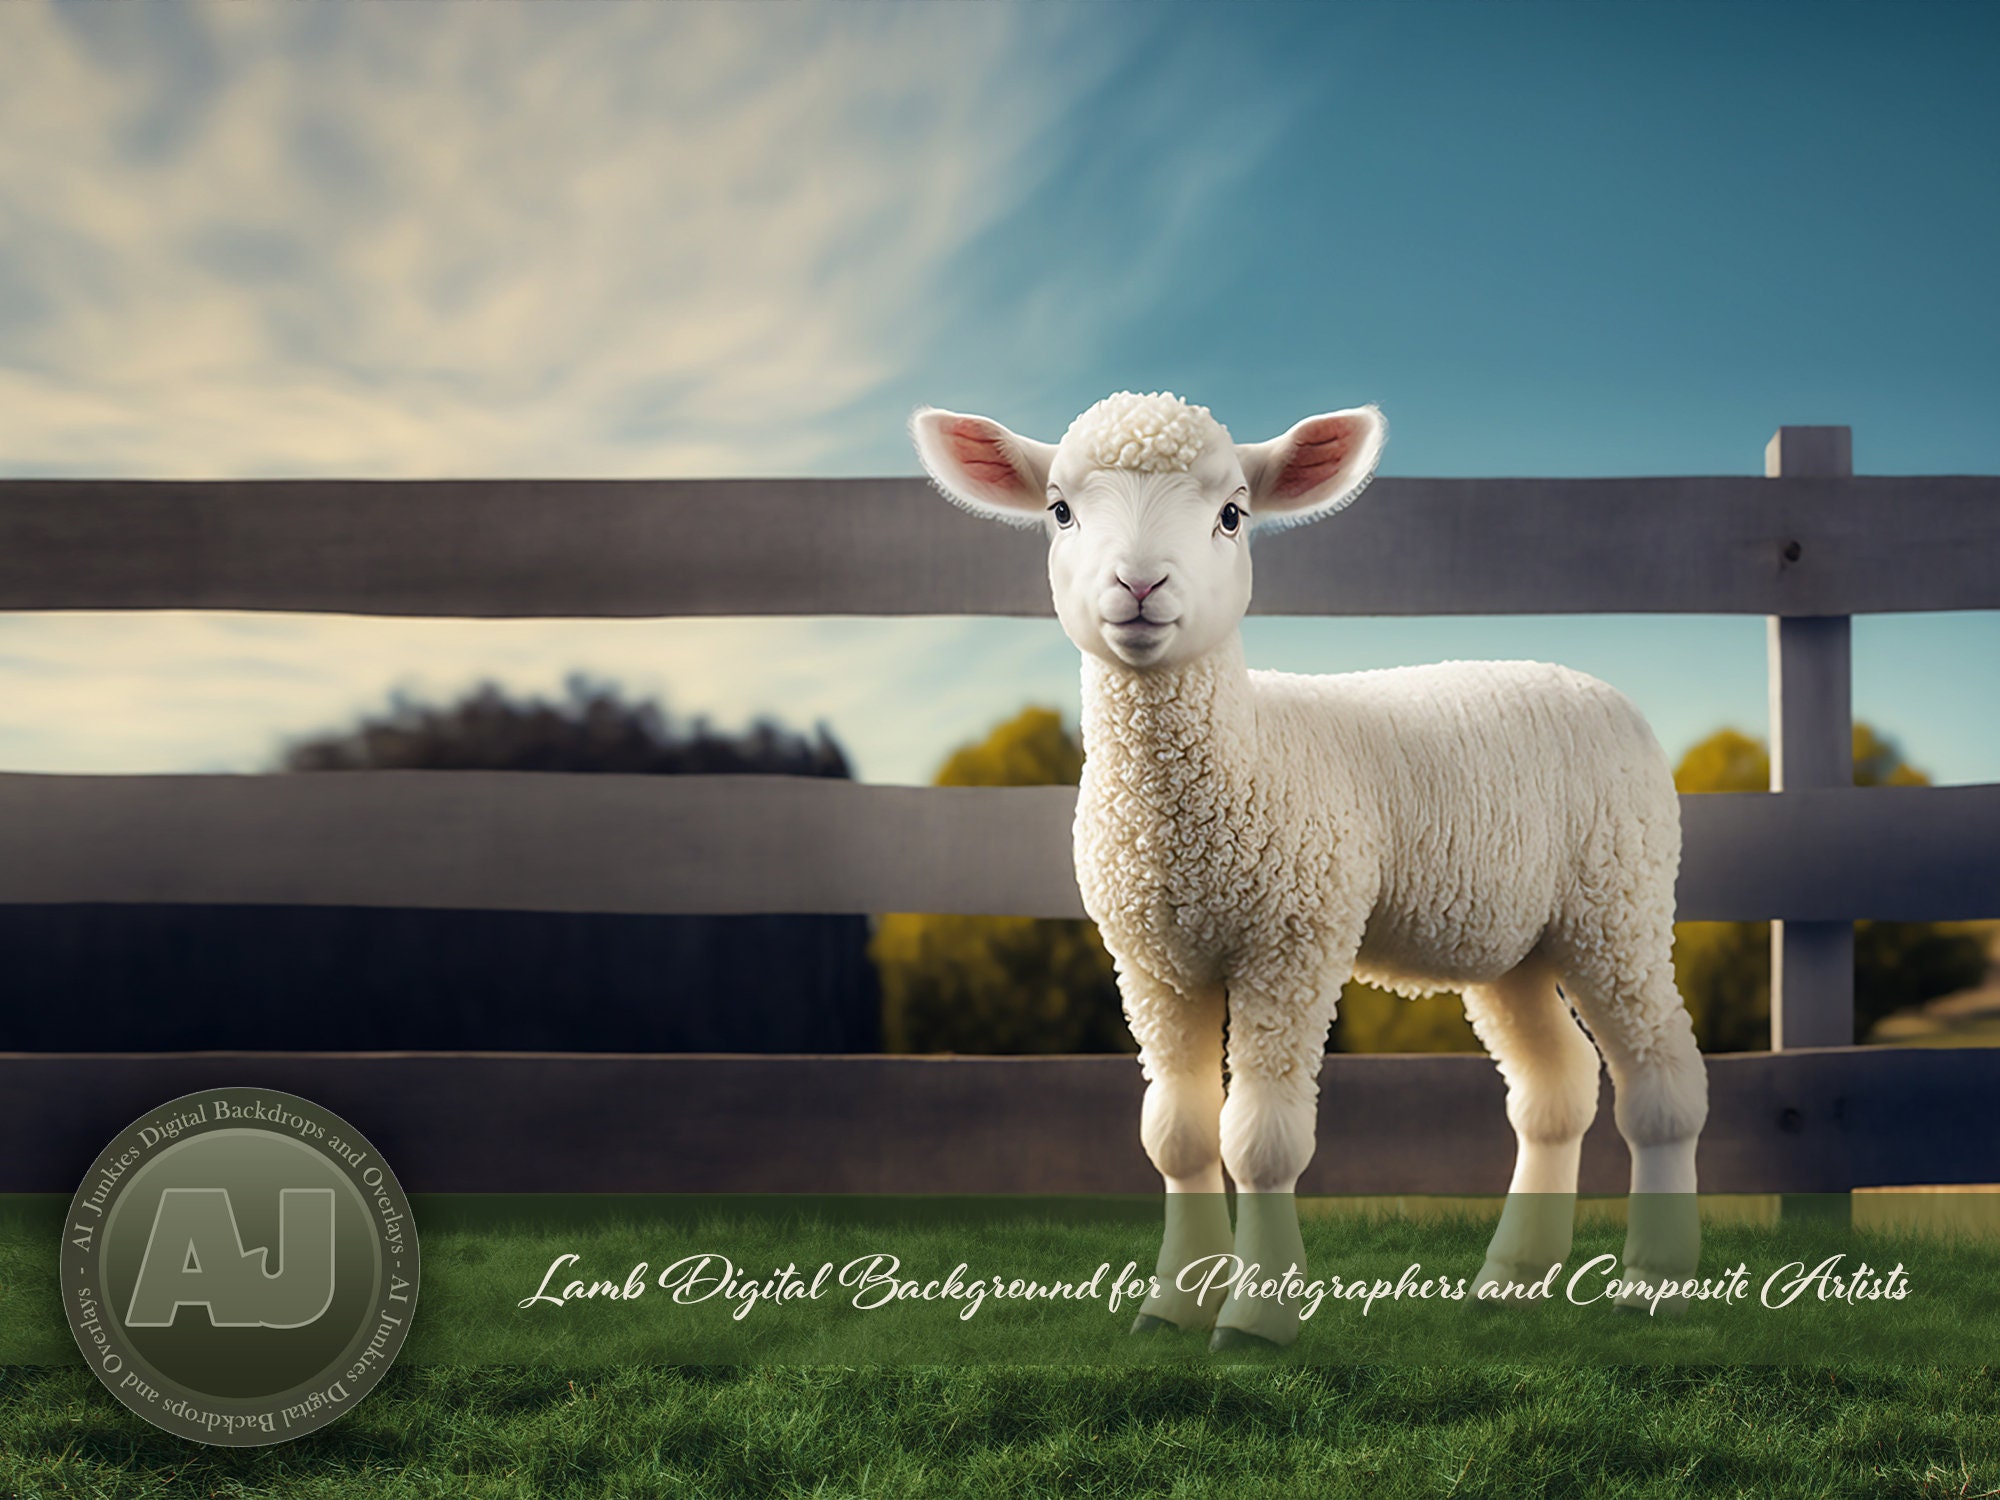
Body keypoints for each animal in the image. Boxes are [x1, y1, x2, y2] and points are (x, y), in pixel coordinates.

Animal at [911, 391, 1708, 1351]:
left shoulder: (1291, 940)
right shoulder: (1152, 961)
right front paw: (1172, 1304)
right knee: (1557, 1086)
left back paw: (1654, 1281)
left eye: (1232, 514)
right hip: (1513, 942)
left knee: (1662, 1080)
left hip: (1619, 898)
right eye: (1060, 511)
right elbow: (1177, 1135)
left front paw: (1255, 1317)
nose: (1139, 586)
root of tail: (1600, 688)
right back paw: (1511, 1279)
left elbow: (1261, 1140)